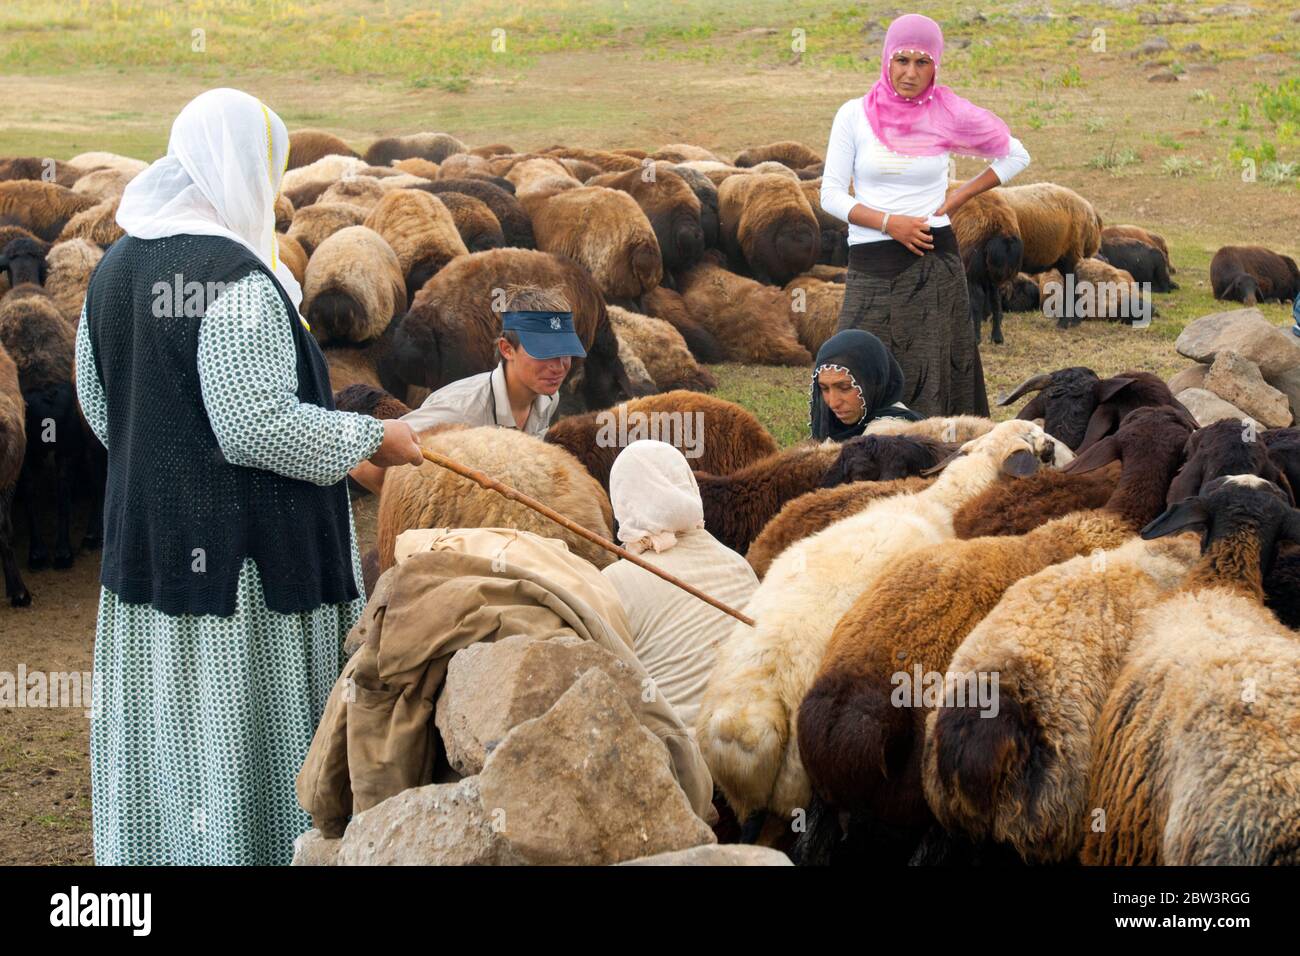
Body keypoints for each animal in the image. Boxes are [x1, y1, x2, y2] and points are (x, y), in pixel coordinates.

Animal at [948, 181, 1022, 345]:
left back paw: (976, 337)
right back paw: (997, 336)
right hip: (994, 275)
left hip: (974, 271)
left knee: (978, 299)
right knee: (996, 300)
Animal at [996, 182, 1102, 330]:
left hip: (1070, 253)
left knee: (1071, 285)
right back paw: (1075, 321)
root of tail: (1089, 209)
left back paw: (1064, 323)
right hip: (1063, 258)